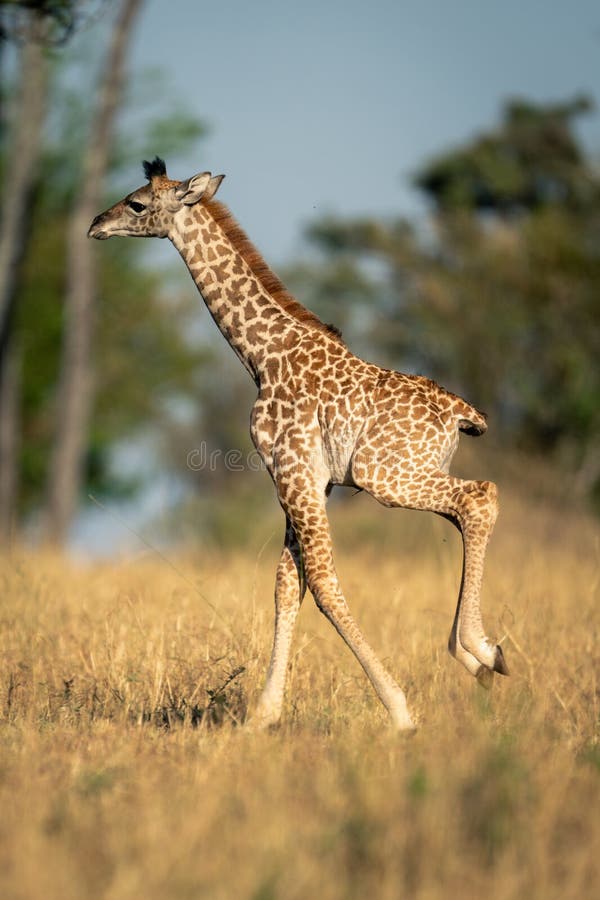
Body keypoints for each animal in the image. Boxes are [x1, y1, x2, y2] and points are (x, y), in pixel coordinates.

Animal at [88, 157, 509, 731]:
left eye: (135, 204)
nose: (95, 225)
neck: (261, 355)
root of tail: (462, 414)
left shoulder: (293, 470)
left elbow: (324, 584)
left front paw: (399, 710)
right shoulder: (307, 478)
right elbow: (288, 586)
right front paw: (264, 714)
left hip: (385, 475)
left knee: (479, 496)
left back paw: (481, 652)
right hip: (410, 471)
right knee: (471, 507)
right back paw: (479, 654)